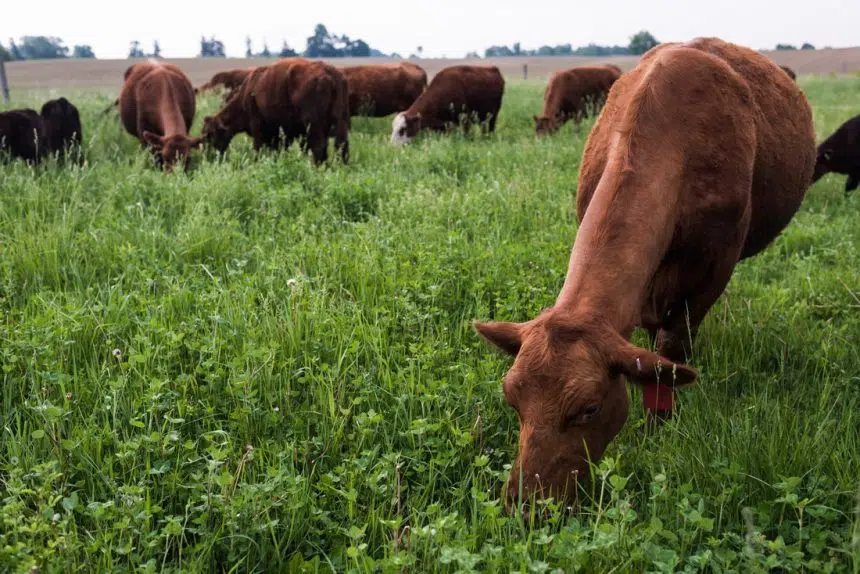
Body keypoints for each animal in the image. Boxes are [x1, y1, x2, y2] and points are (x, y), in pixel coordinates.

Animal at [201, 58, 350, 165]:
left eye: (210, 134)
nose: (210, 156)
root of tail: (329, 72)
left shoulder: (258, 128)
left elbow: (258, 149)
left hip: (314, 124)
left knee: (319, 146)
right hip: (340, 121)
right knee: (341, 144)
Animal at [473, 37, 815, 508]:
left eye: (590, 408)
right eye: (512, 399)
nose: (528, 504)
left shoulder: (714, 266)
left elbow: (673, 345)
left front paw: (660, 425)